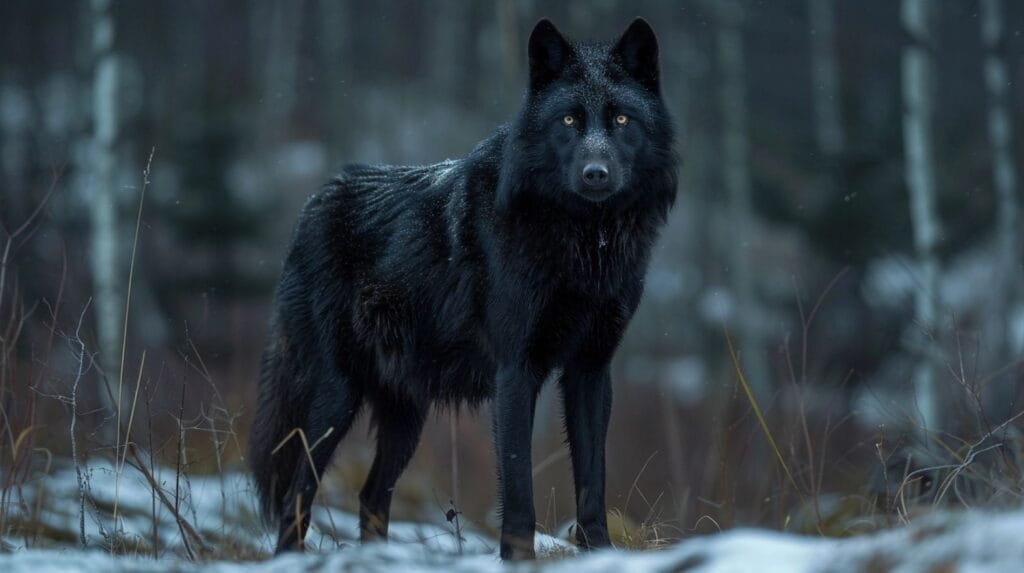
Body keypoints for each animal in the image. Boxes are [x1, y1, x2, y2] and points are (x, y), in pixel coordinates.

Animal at [249, 18, 677, 560]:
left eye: (621, 119)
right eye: (568, 121)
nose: (595, 173)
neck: (583, 242)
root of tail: (315, 200)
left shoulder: (591, 371)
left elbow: (592, 485)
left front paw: (599, 555)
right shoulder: (515, 372)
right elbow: (518, 491)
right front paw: (519, 561)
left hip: (406, 415)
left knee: (371, 496)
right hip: (335, 397)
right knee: (297, 495)